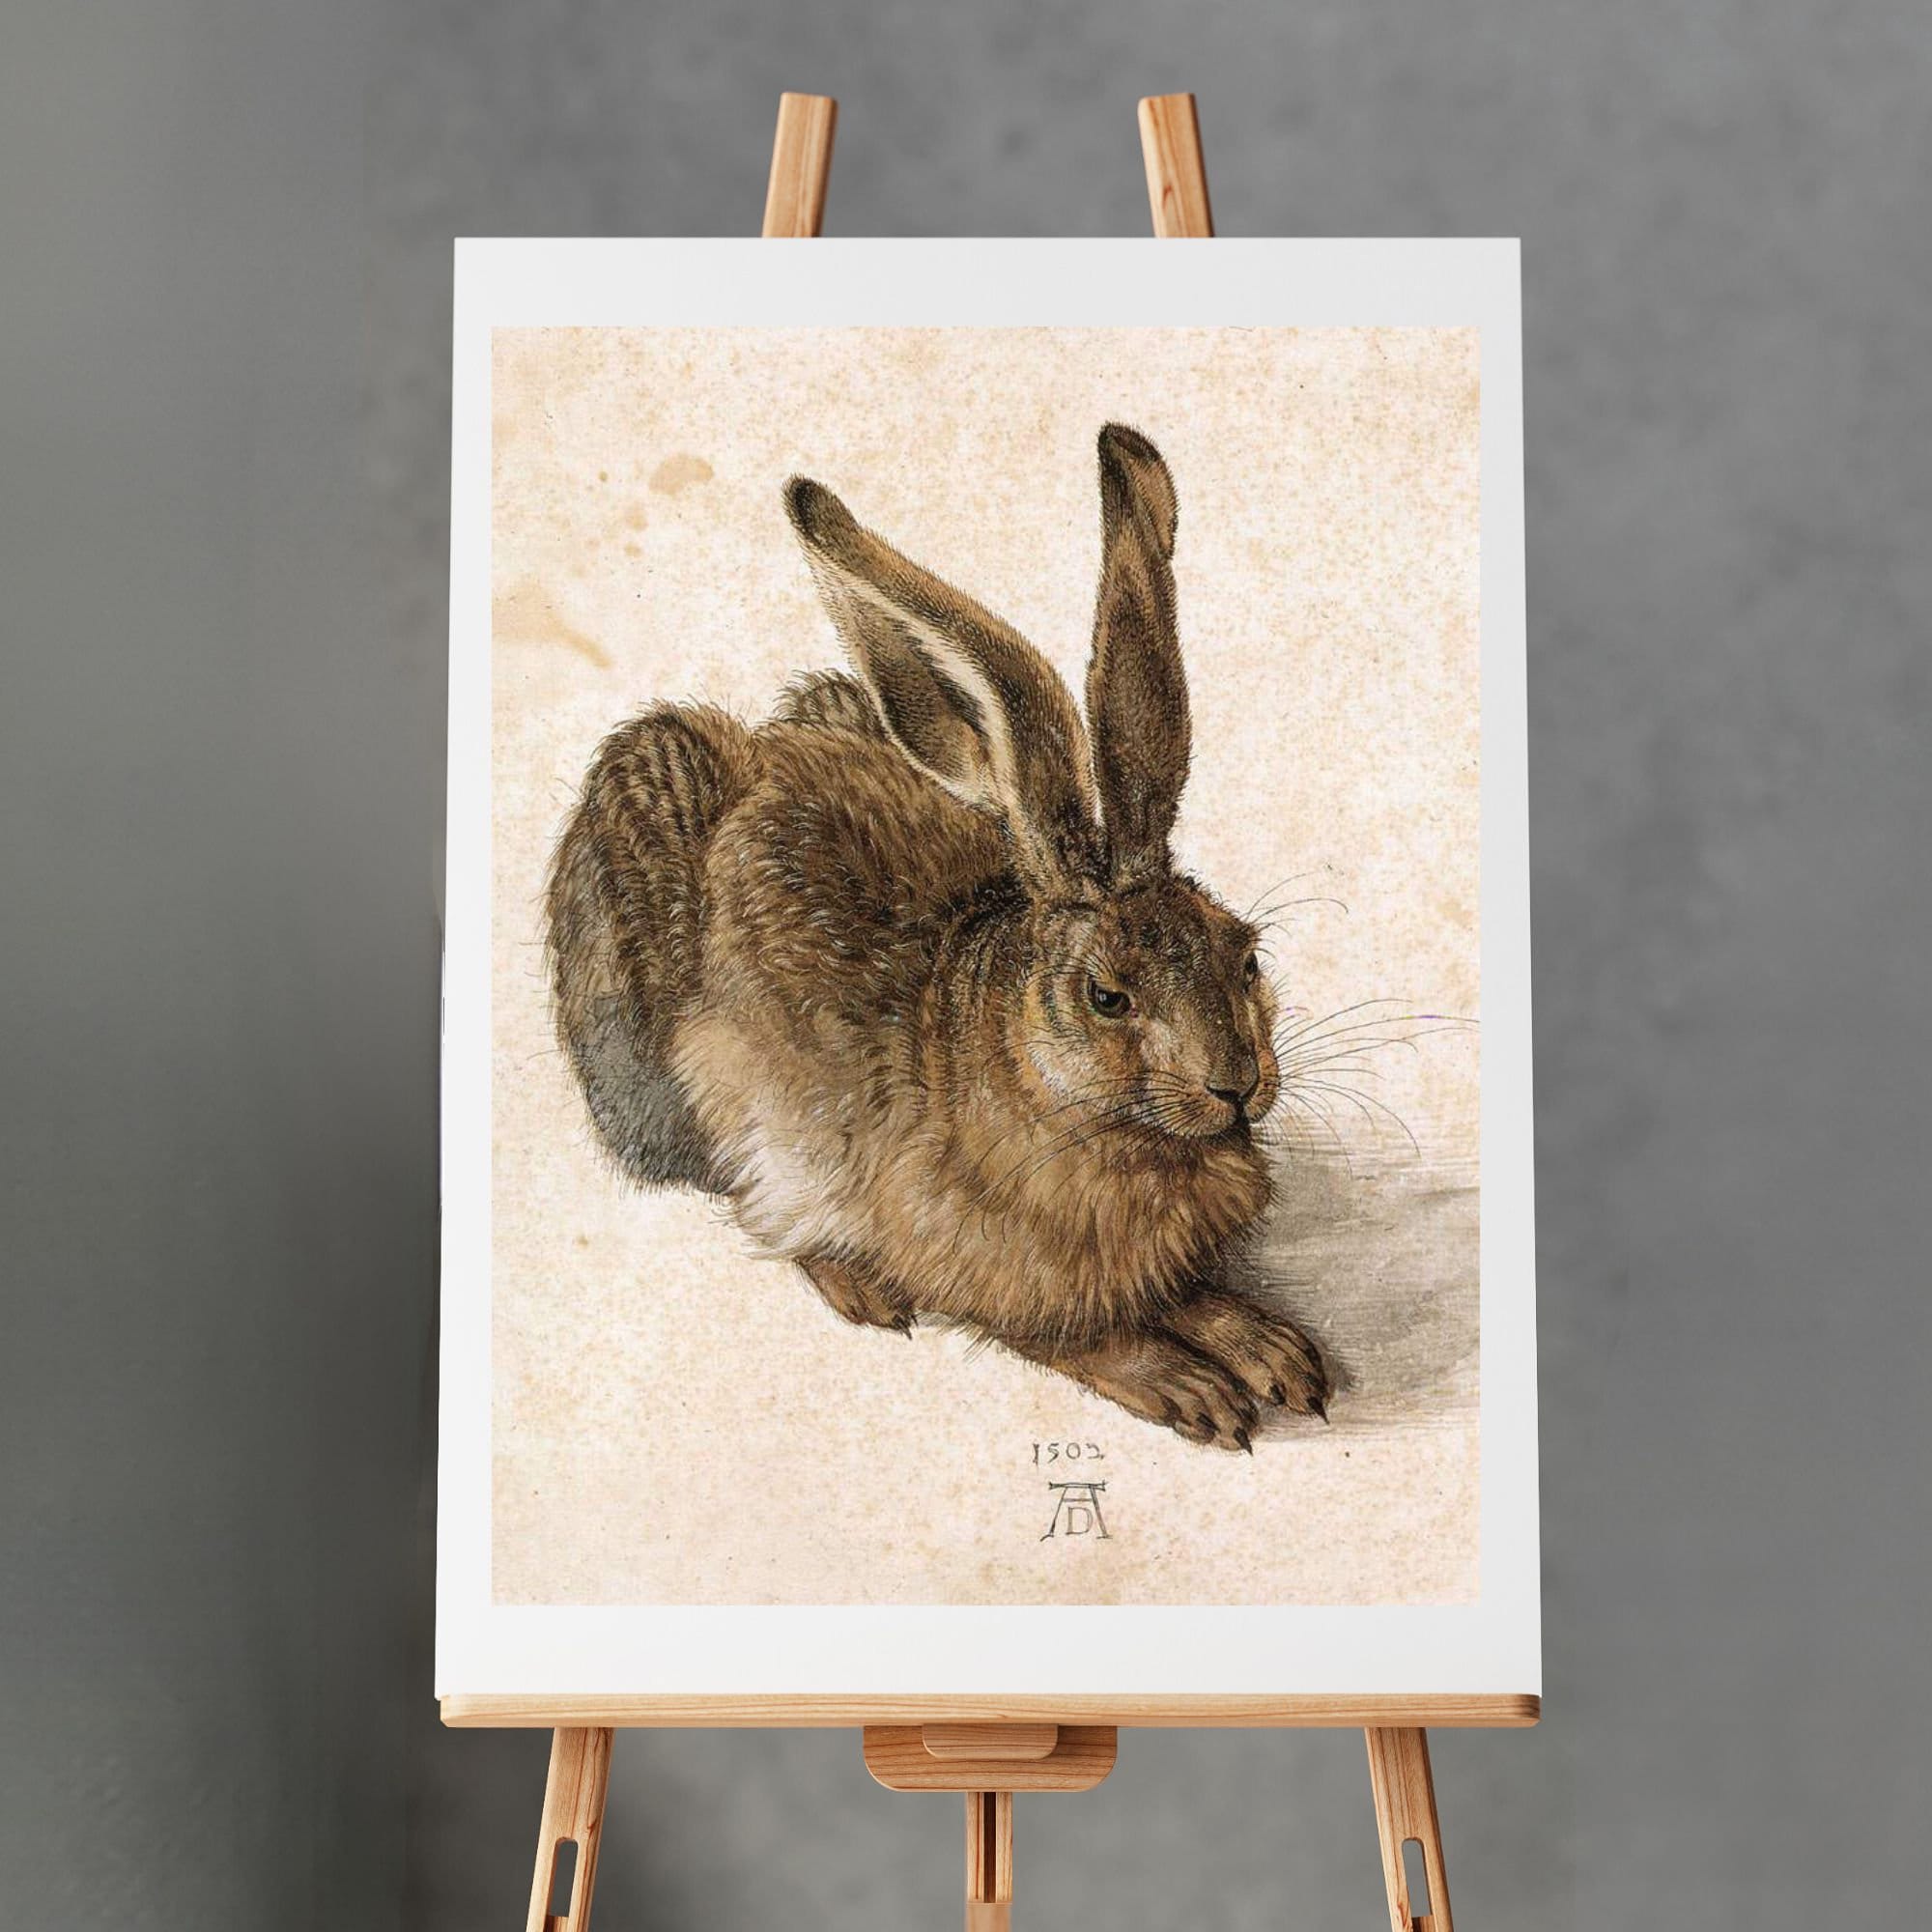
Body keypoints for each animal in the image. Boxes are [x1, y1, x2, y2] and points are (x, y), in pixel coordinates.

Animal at [545, 424, 1330, 1449]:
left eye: (1246, 956)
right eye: (1107, 996)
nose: (1235, 1085)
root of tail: (763, 752)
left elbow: (1192, 1296)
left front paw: (1275, 1350)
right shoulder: (984, 1266)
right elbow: (1078, 1334)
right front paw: (1190, 1385)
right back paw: (854, 1284)